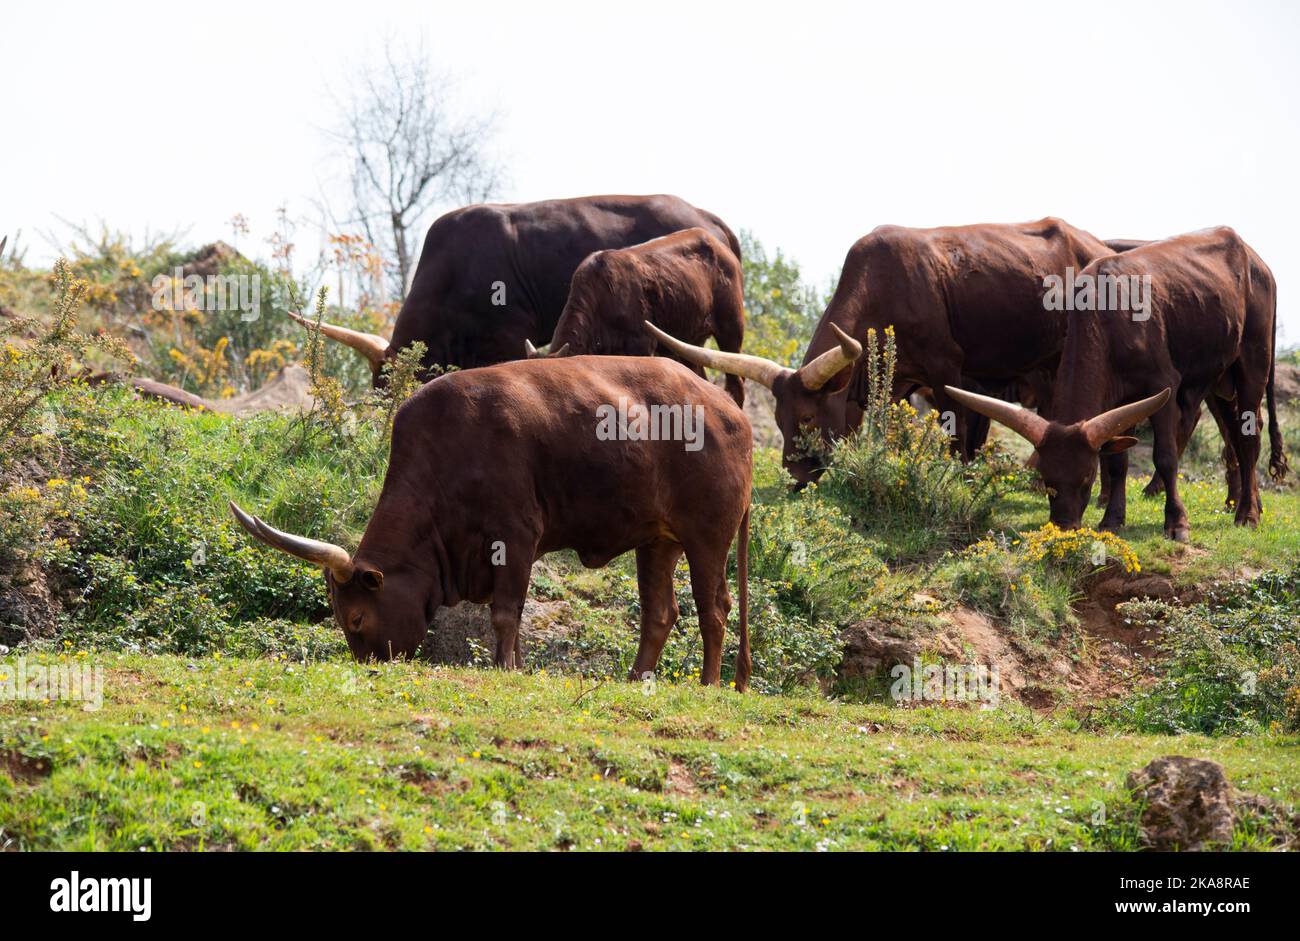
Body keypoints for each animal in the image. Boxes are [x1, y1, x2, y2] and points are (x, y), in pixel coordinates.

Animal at [229, 356, 755, 689]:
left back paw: (709, 683)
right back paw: (634, 678)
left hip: (707, 537)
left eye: (357, 617)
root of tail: (730, 411)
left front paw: (506, 668)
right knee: (660, 613)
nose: (371, 667)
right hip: (658, 541)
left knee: (714, 608)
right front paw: (515, 665)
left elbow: (506, 613)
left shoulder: (516, 537)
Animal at [528, 228, 746, 406]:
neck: (601, 296)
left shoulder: (641, 344)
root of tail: (724, 250)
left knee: (737, 384)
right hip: (690, 343)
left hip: (731, 331)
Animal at [647, 218, 1117, 485]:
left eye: (807, 417)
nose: (794, 476)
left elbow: (956, 430)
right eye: (779, 420)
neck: (885, 285)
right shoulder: (896, 383)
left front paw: (960, 478)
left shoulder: (946, 368)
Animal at [945, 226, 1287, 541]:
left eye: (1086, 479)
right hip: (1221, 380)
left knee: (1249, 437)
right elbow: (1118, 462)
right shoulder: (1121, 402)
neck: (1109, 318)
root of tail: (1257, 262)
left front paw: (1176, 522)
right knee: (1234, 433)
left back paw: (1247, 514)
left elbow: (1165, 456)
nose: (1064, 527)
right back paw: (1249, 503)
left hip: (1252, 364)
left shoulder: (1161, 386)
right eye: (1047, 482)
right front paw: (1112, 519)